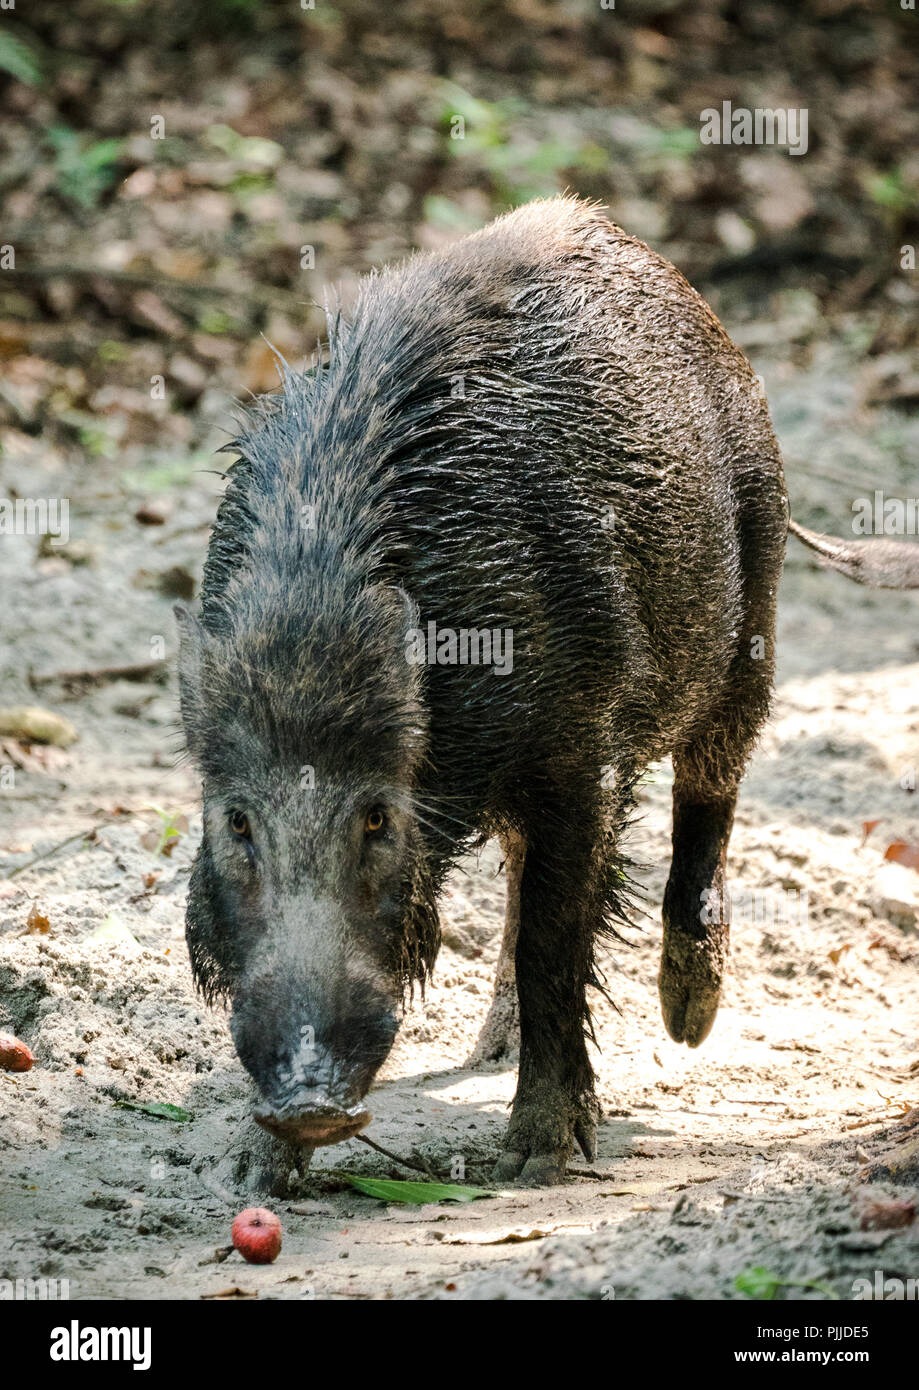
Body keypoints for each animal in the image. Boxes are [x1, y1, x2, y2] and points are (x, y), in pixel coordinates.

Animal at [176, 196, 918, 1187]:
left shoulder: (581, 745)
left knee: (710, 789)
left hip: (752, 610)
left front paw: (538, 1158)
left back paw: (688, 1016)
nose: (308, 1103)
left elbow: (555, 937)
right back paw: (487, 1050)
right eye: (237, 822)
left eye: (376, 817)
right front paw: (254, 1177)